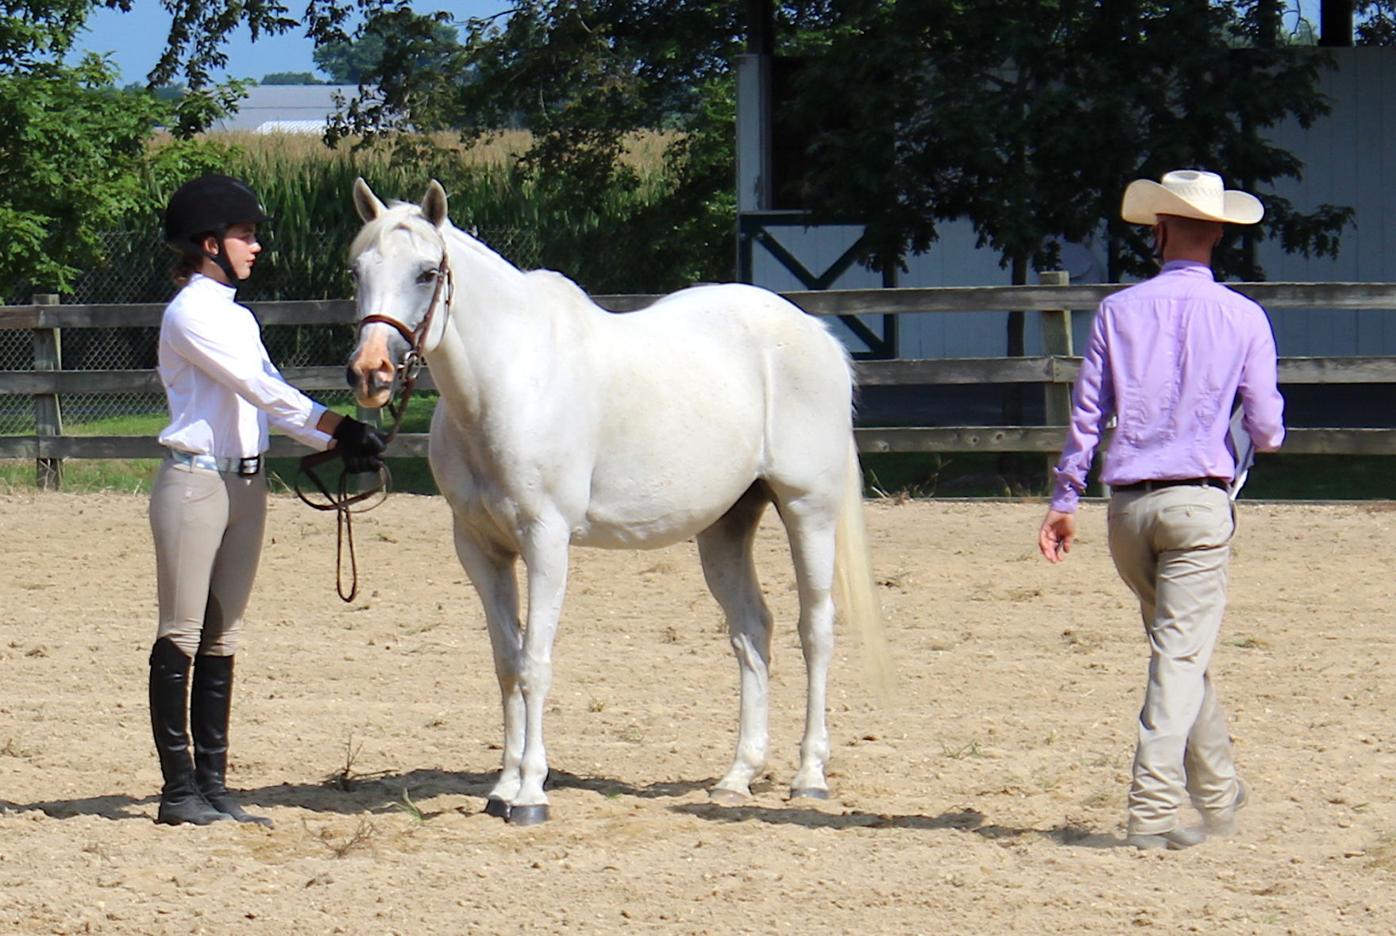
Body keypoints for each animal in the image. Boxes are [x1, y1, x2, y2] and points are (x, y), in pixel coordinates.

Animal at [345, 178, 887, 825]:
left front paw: (530, 795)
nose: (370, 372)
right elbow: (506, 663)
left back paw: (809, 777)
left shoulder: (546, 540)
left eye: (427, 272)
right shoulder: (481, 548)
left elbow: (535, 664)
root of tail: (816, 335)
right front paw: (501, 787)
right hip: (726, 526)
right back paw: (737, 778)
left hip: (809, 510)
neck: (511, 381)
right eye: (357, 270)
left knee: (815, 631)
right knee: (753, 632)